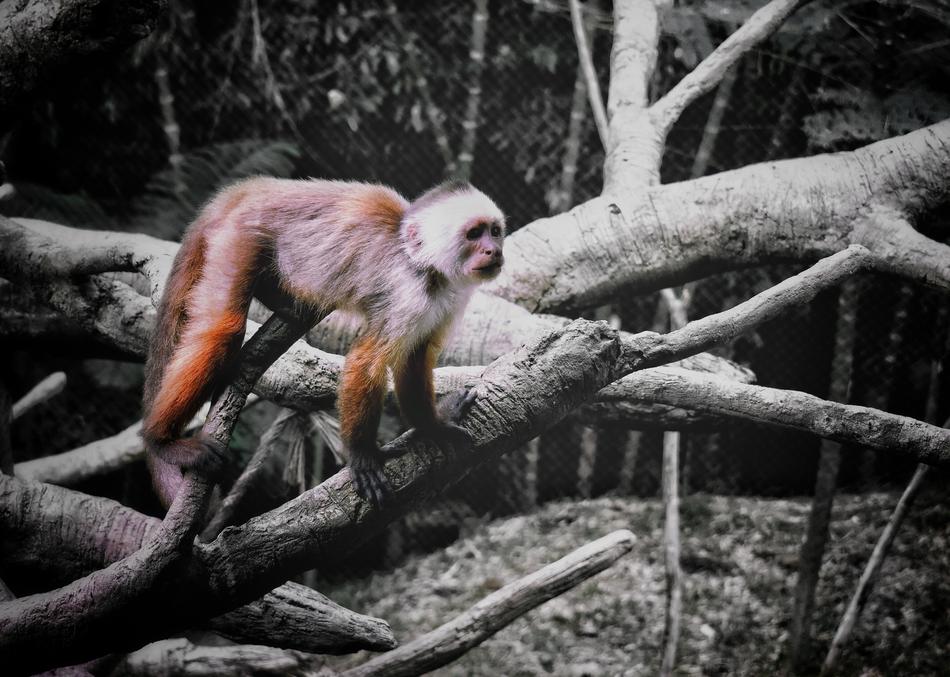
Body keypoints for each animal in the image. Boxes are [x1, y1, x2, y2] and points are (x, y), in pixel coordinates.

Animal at [141, 178, 505, 508]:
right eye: (474, 234)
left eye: (495, 231)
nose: (494, 251)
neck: (423, 265)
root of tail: (254, 188)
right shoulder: (409, 294)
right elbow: (367, 360)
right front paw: (362, 456)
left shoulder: (447, 299)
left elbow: (414, 357)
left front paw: (433, 427)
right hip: (239, 237)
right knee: (222, 330)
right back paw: (160, 440)